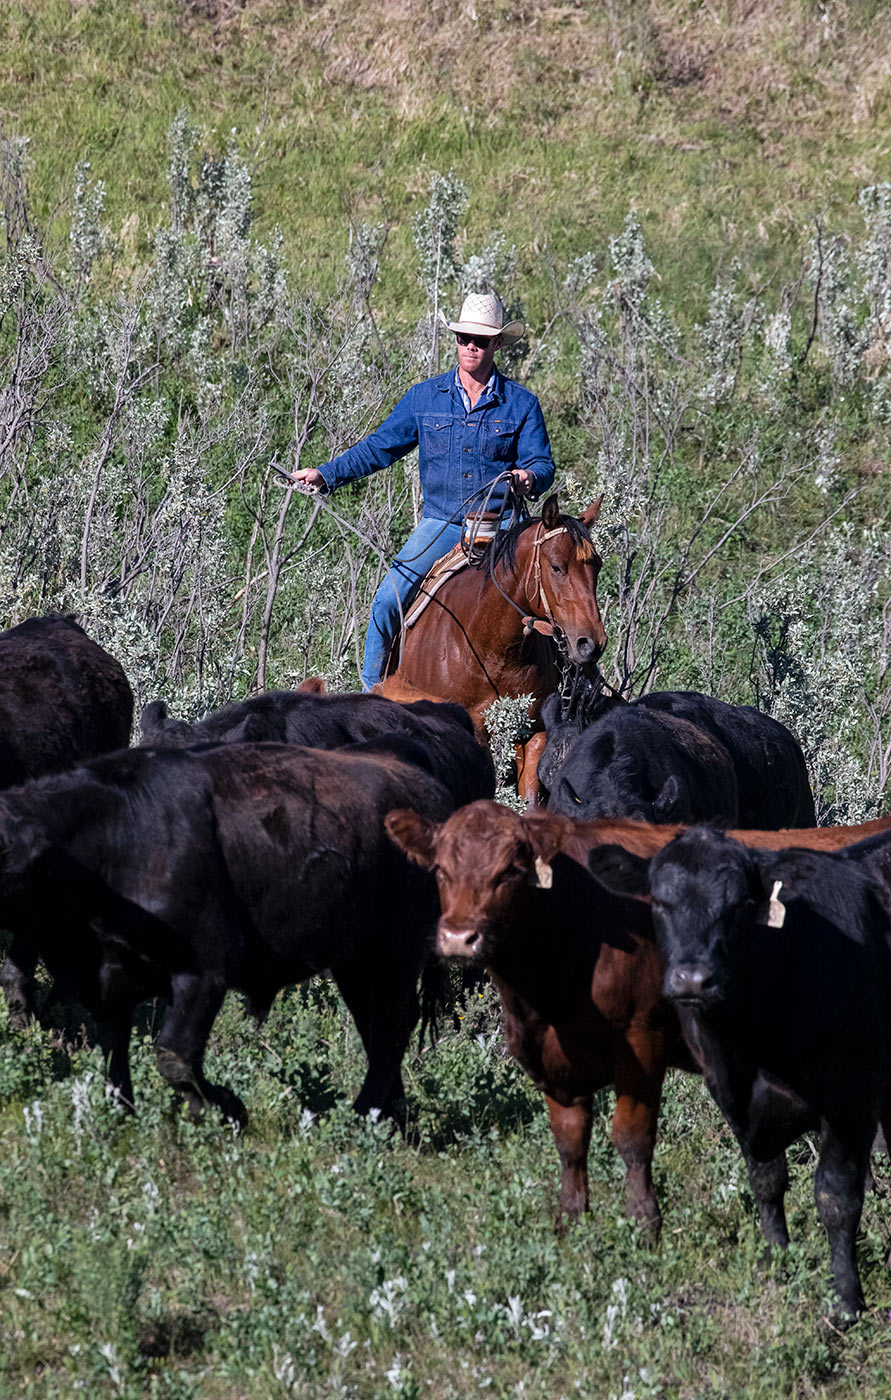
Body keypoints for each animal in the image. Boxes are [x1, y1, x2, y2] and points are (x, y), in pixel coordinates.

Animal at [0, 725, 493, 1125]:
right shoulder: (111, 985)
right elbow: (115, 1053)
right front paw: (123, 1115)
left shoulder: (203, 972)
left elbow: (174, 1055)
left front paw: (228, 1109)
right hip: (354, 959)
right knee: (374, 1022)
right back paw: (392, 1112)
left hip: (396, 949)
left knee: (393, 1022)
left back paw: (364, 1114)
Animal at [385, 801, 891, 1237]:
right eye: (439, 869)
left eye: (510, 870)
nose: (459, 937)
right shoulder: (553, 1059)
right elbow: (570, 1141)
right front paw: (570, 1221)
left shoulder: (642, 1040)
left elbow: (632, 1137)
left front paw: (644, 1225)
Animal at [585, 825, 891, 1321]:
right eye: (659, 902)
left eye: (739, 905)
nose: (693, 979)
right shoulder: (733, 1097)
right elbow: (767, 1182)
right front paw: (776, 1265)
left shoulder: (852, 1099)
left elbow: (836, 1197)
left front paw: (844, 1302)